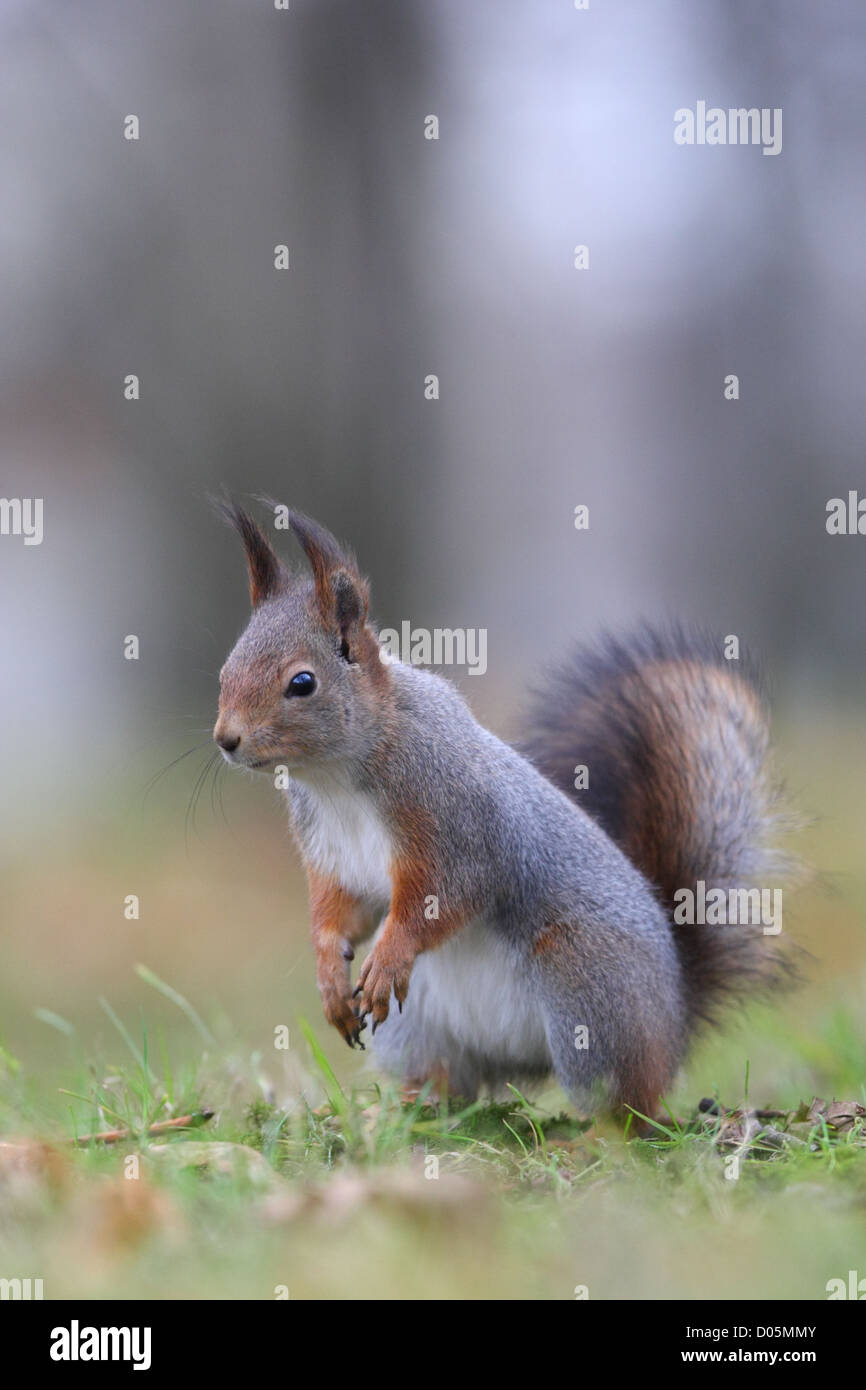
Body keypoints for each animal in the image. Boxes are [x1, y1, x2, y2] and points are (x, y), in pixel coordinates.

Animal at [213, 503, 798, 1119]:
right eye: (226, 671)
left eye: (302, 682)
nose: (226, 739)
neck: (337, 778)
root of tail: (676, 1015)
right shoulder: (334, 856)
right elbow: (341, 912)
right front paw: (329, 978)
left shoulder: (458, 823)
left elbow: (443, 896)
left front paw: (389, 955)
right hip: (419, 1025)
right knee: (448, 1081)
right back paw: (402, 1108)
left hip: (588, 988)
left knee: (627, 1103)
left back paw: (590, 1132)